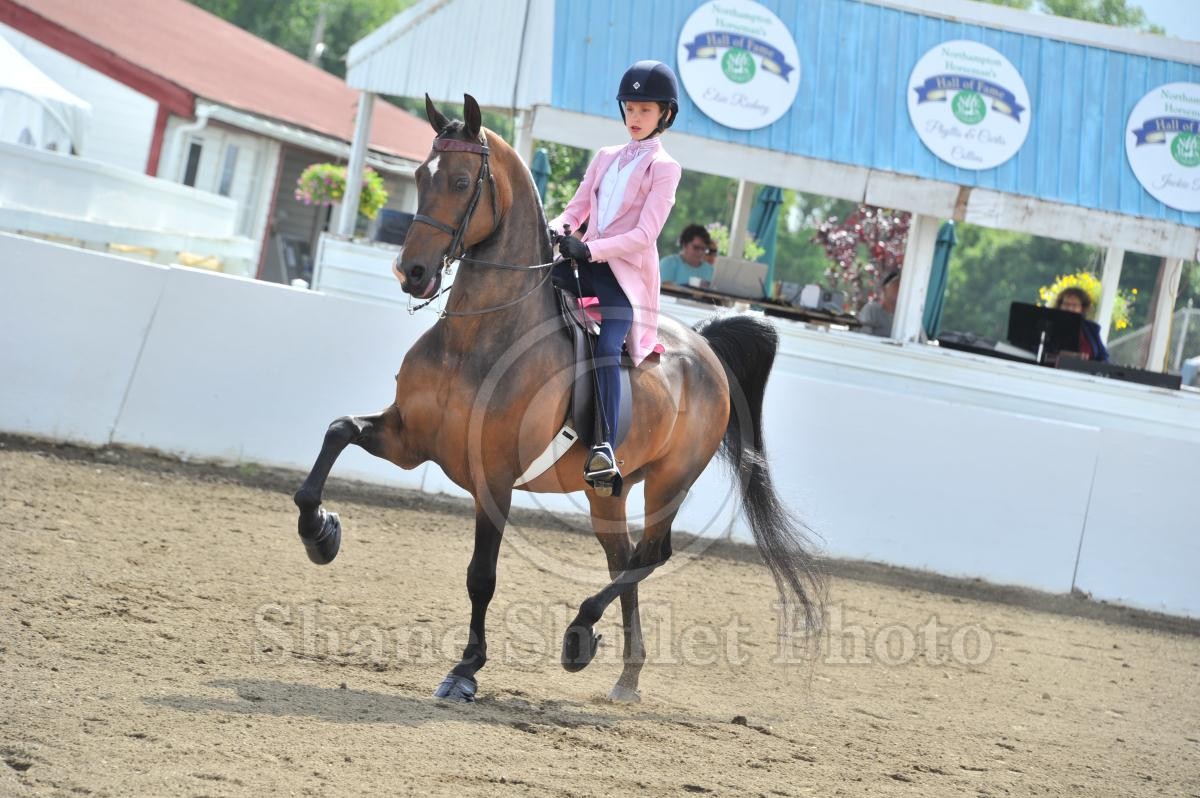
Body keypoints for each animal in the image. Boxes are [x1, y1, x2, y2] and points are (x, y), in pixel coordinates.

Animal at [293, 93, 823, 703]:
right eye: (421, 177)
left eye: (459, 181)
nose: (413, 272)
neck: (476, 337)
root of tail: (704, 346)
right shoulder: (408, 439)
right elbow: (338, 431)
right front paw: (321, 534)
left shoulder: (494, 476)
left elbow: (482, 575)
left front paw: (465, 670)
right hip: (609, 493)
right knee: (623, 556)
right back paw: (625, 673)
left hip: (670, 480)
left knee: (650, 554)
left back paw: (579, 635)